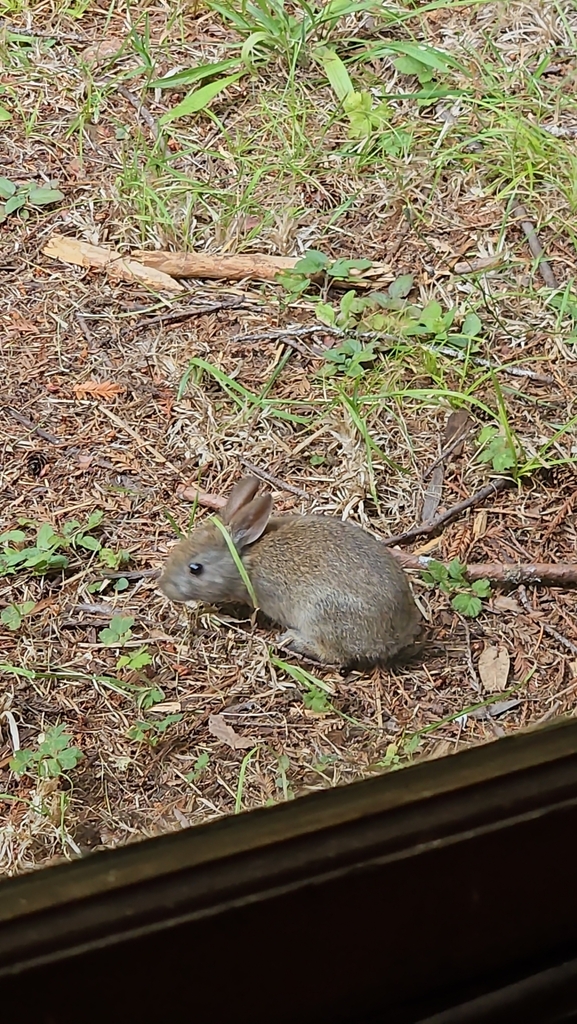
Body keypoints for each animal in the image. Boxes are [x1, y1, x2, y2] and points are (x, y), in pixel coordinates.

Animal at [159, 476, 422, 672]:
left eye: (195, 569)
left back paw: (293, 641)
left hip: (321, 615)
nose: (164, 586)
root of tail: (395, 634)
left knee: (336, 656)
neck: (245, 560)